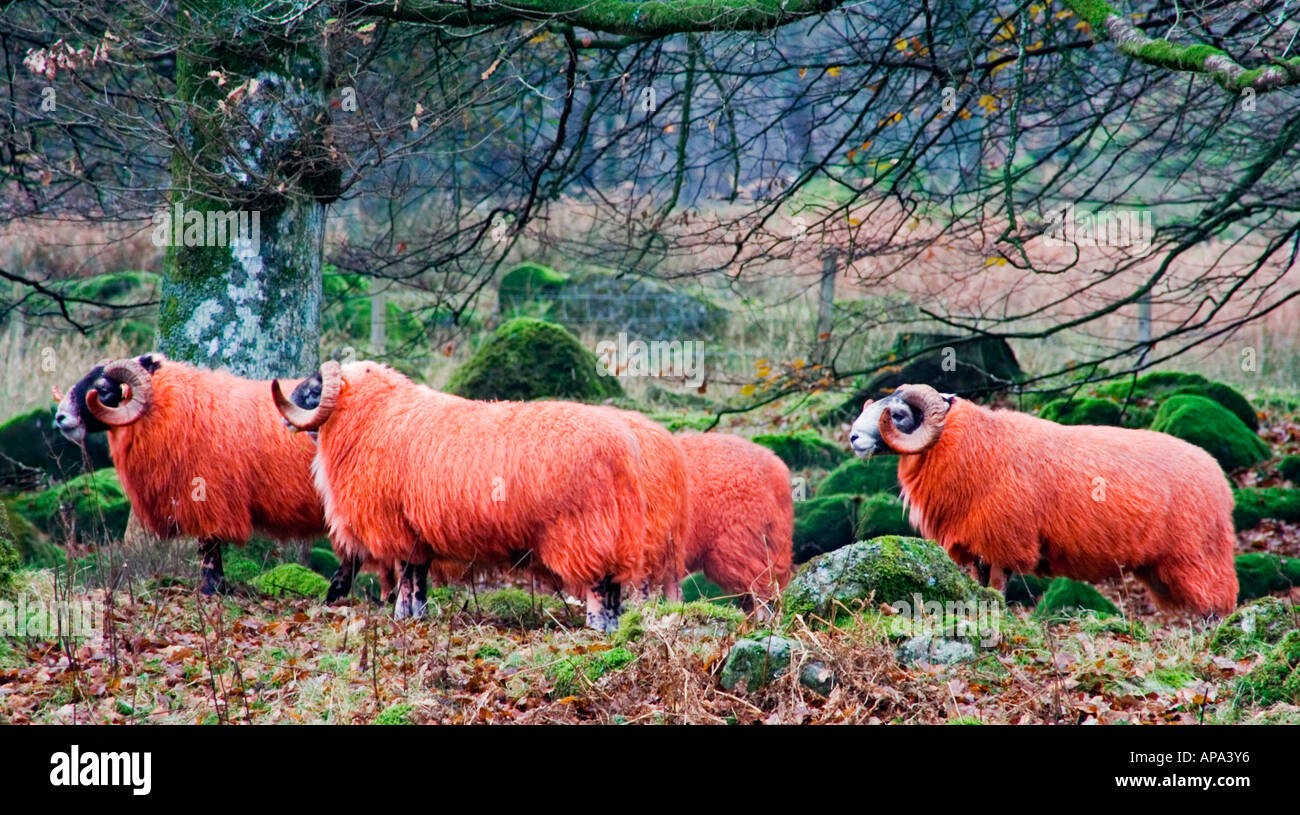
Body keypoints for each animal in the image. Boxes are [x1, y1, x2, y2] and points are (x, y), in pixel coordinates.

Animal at [272, 359, 649, 631]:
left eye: (316, 386)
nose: (285, 419)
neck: (374, 416)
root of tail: (624, 448)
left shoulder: (398, 527)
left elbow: (405, 575)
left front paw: (401, 615)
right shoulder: (418, 531)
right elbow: (418, 576)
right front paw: (417, 614)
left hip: (585, 528)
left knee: (599, 582)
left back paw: (597, 626)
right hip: (615, 529)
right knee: (614, 585)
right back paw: (613, 627)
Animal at [848, 383, 1239, 616]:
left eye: (897, 415)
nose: (853, 438)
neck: (975, 444)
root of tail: (1219, 478)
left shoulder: (1003, 543)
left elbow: (997, 590)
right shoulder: (977, 545)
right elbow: (979, 587)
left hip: (1199, 557)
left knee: (1216, 607)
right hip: (1163, 570)